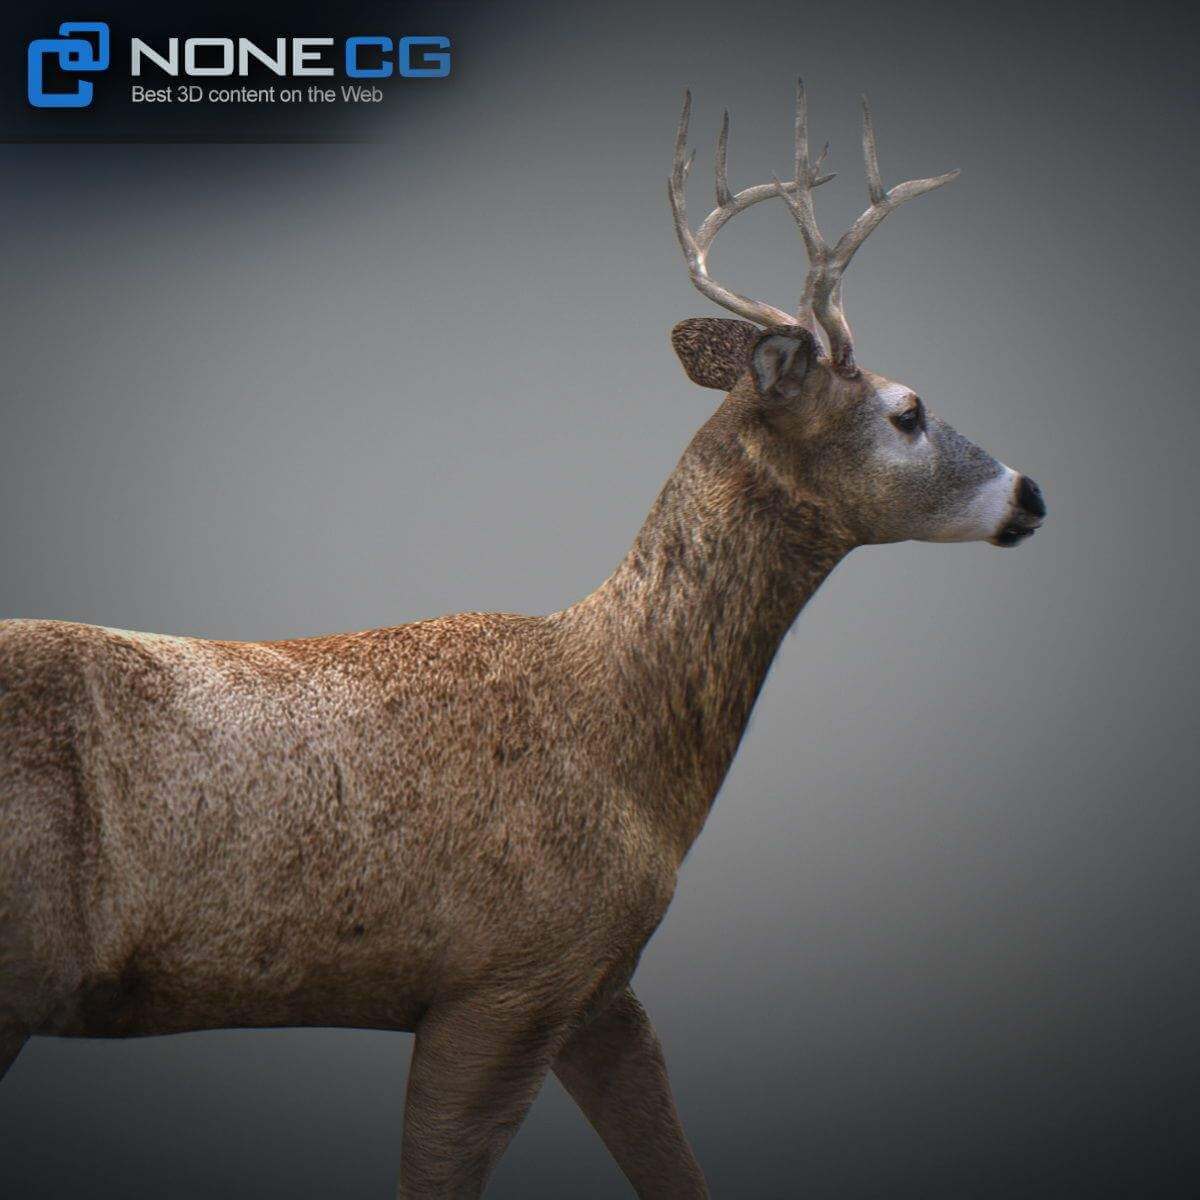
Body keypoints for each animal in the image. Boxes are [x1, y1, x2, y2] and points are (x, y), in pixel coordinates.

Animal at [0, 79, 1045, 1198]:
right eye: (908, 411)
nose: (1031, 493)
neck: (624, 744)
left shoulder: (598, 988)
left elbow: (674, 1166)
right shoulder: (503, 976)